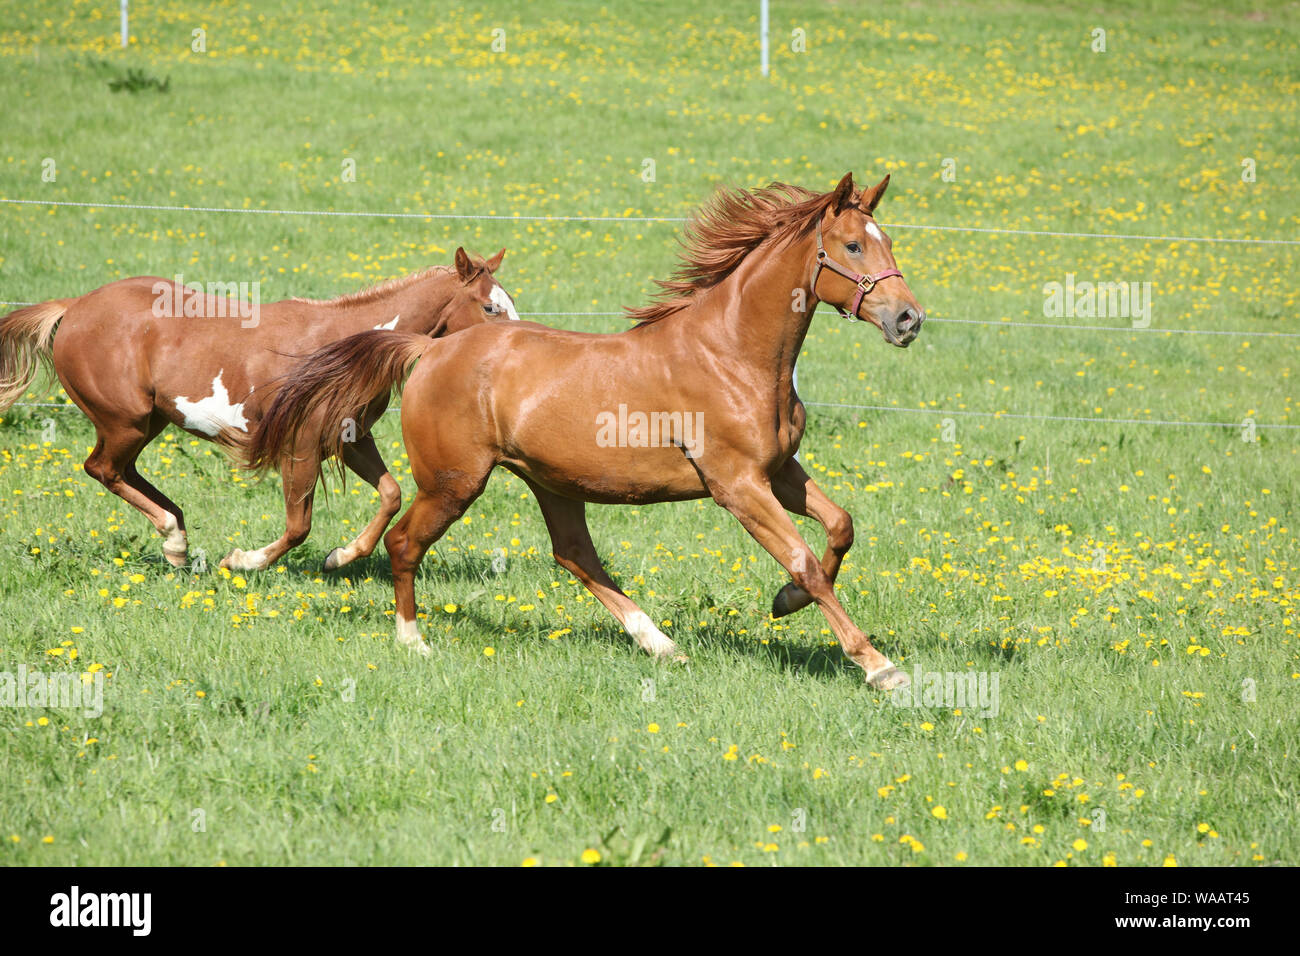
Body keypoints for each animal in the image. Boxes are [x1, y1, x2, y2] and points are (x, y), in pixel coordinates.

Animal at [0, 247, 520, 572]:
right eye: (489, 308)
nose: (516, 344)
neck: (338, 346)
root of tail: (75, 307)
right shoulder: (300, 446)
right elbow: (298, 526)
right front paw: (243, 561)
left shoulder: (351, 439)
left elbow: (391, 494)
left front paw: (341, 556)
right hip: (123, 422)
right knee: (103, 469)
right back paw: (174, 537)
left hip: (149, 422)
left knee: (120, 471)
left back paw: (177, 539)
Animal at [239, 172, 924, 689]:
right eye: (852, 247)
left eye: (887, 240)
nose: (908, 319)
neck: (730, 353)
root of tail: (428, 349)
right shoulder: (737, 485)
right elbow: (806, 560)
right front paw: (878, 666)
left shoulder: (779, 472)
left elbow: (840, 528)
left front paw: (783, 602)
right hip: (455, 483)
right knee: (406, 543)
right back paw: (412, 639)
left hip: (552, 482)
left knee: (573, 554)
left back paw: (659, 643)